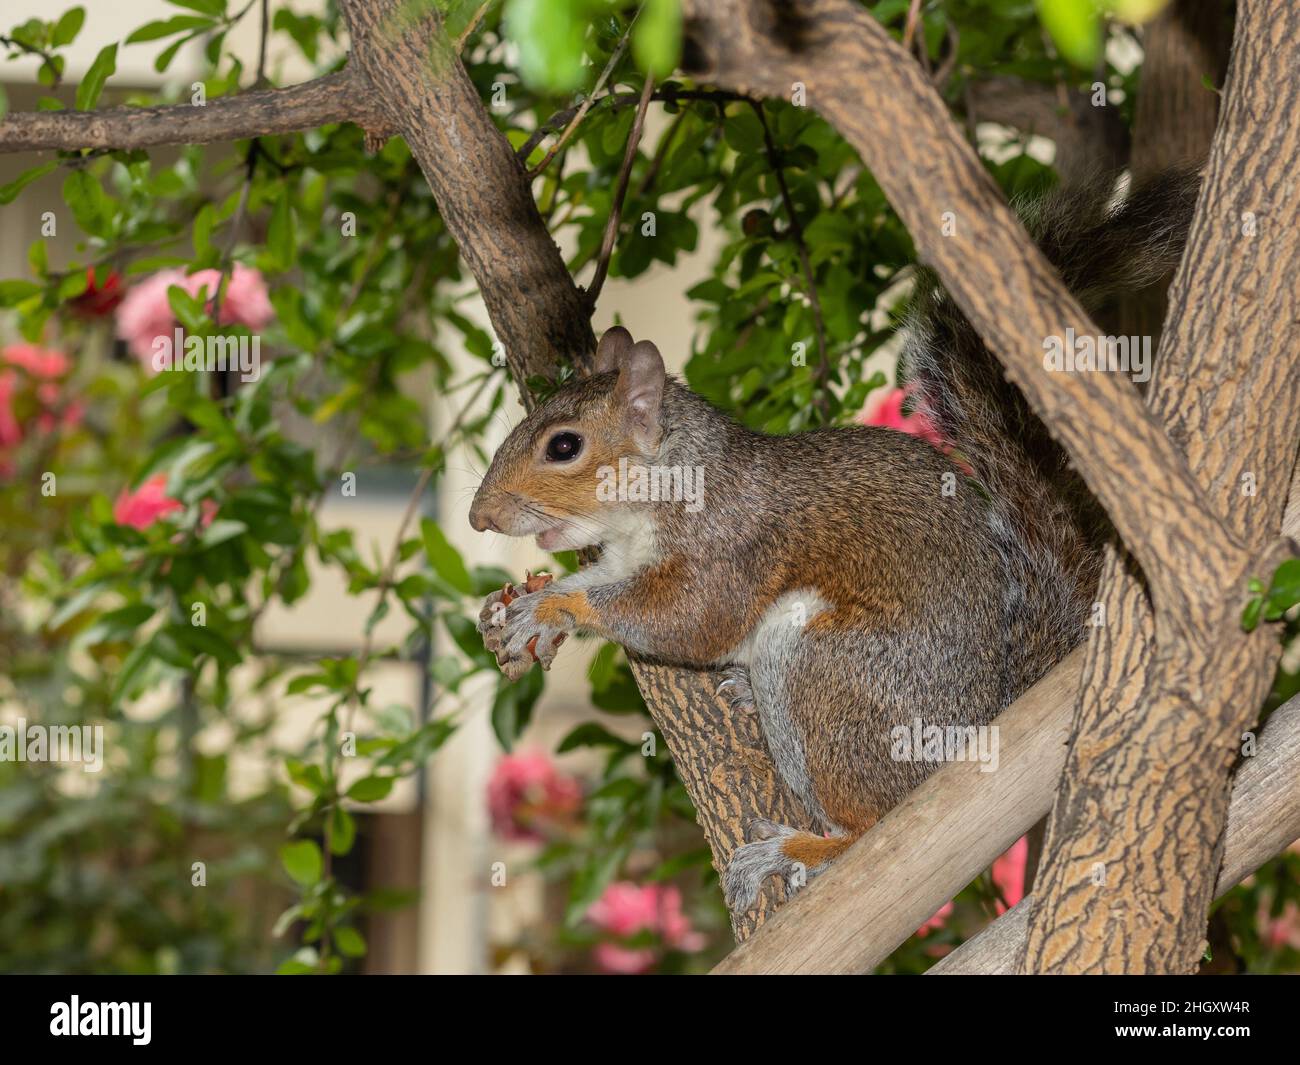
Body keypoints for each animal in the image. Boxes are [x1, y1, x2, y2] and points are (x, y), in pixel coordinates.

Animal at [469, 170, 1201, 911]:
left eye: (564, 446)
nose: (478, 517)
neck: (666, 486)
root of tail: (979, 723)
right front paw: (518, 602)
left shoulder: (731, 544)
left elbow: (688, 619)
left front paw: (554, 607)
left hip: (825, 672)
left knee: (873, 819)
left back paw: (800, 848)